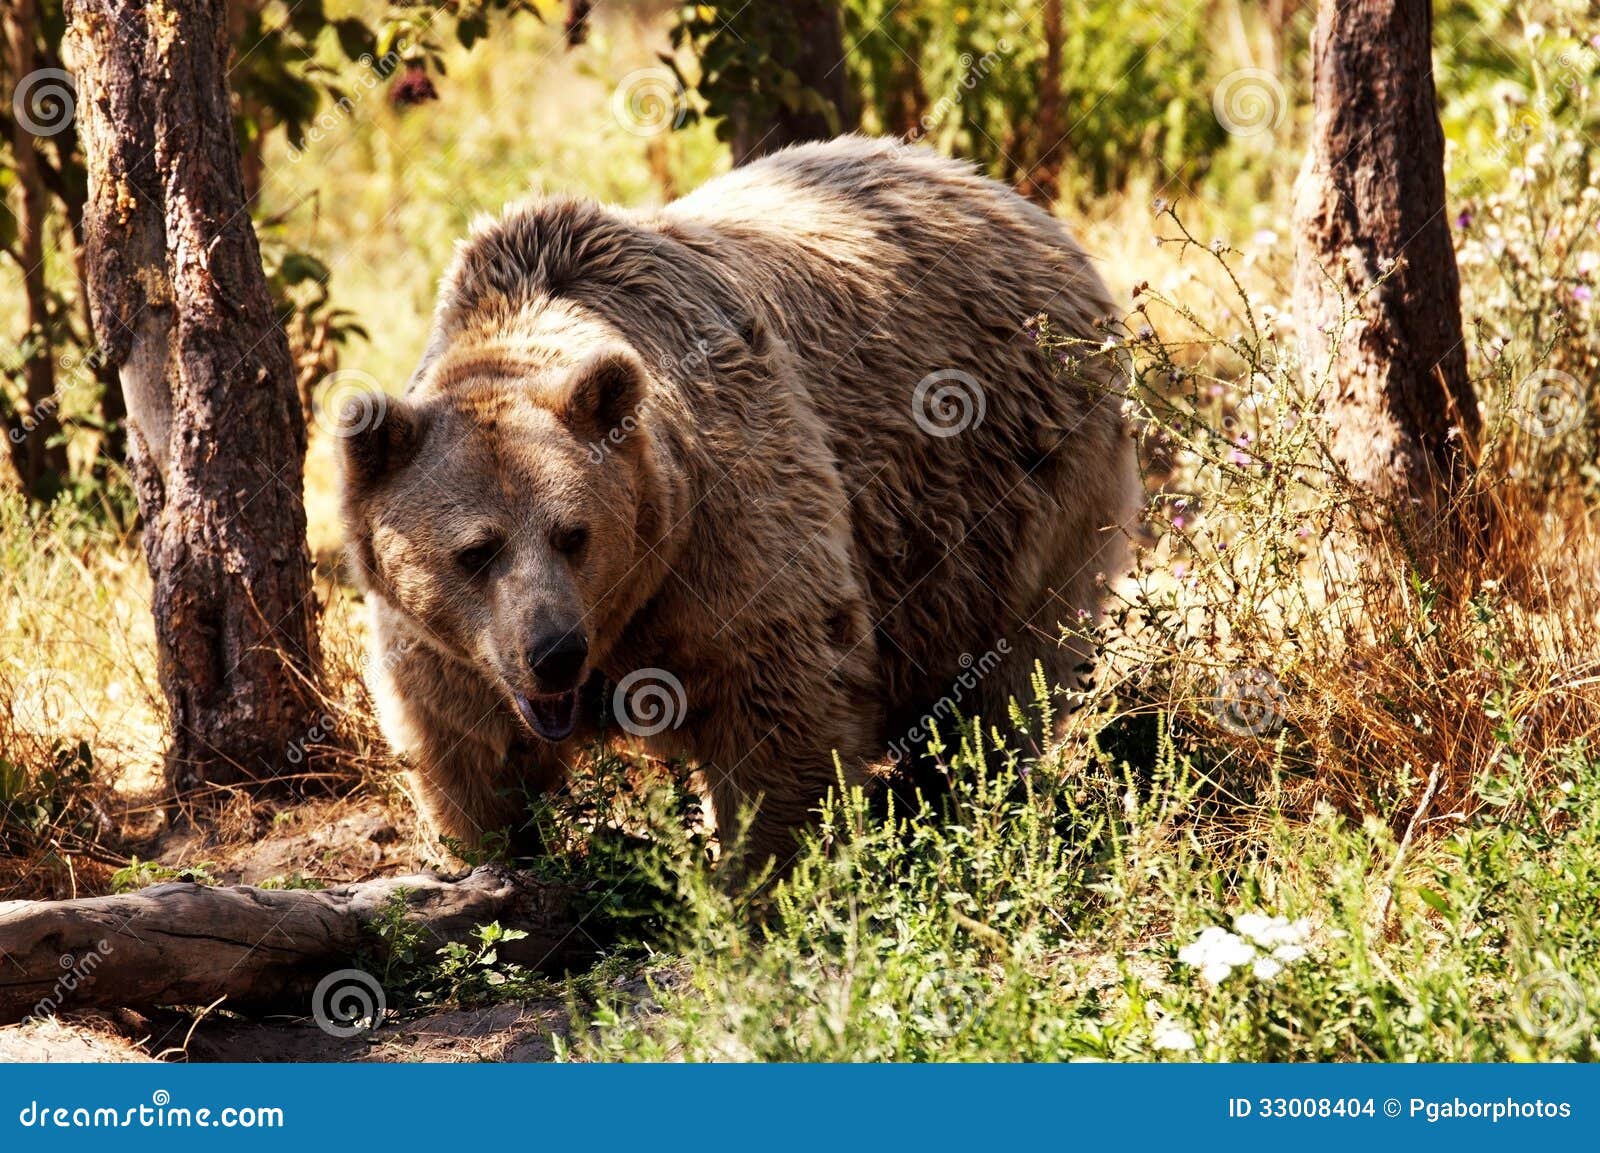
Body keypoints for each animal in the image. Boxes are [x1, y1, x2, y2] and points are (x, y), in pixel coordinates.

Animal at [339, 135, 1135, 869]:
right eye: (475, 550)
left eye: (575, 534)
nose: (555, 652)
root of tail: (1014, 200)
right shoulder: (449, 645)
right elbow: (465, 748)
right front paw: (495, 854)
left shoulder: (729, 524)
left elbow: (777, 701)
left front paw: (760, 873)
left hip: (1017, 477)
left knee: (1006, 672)